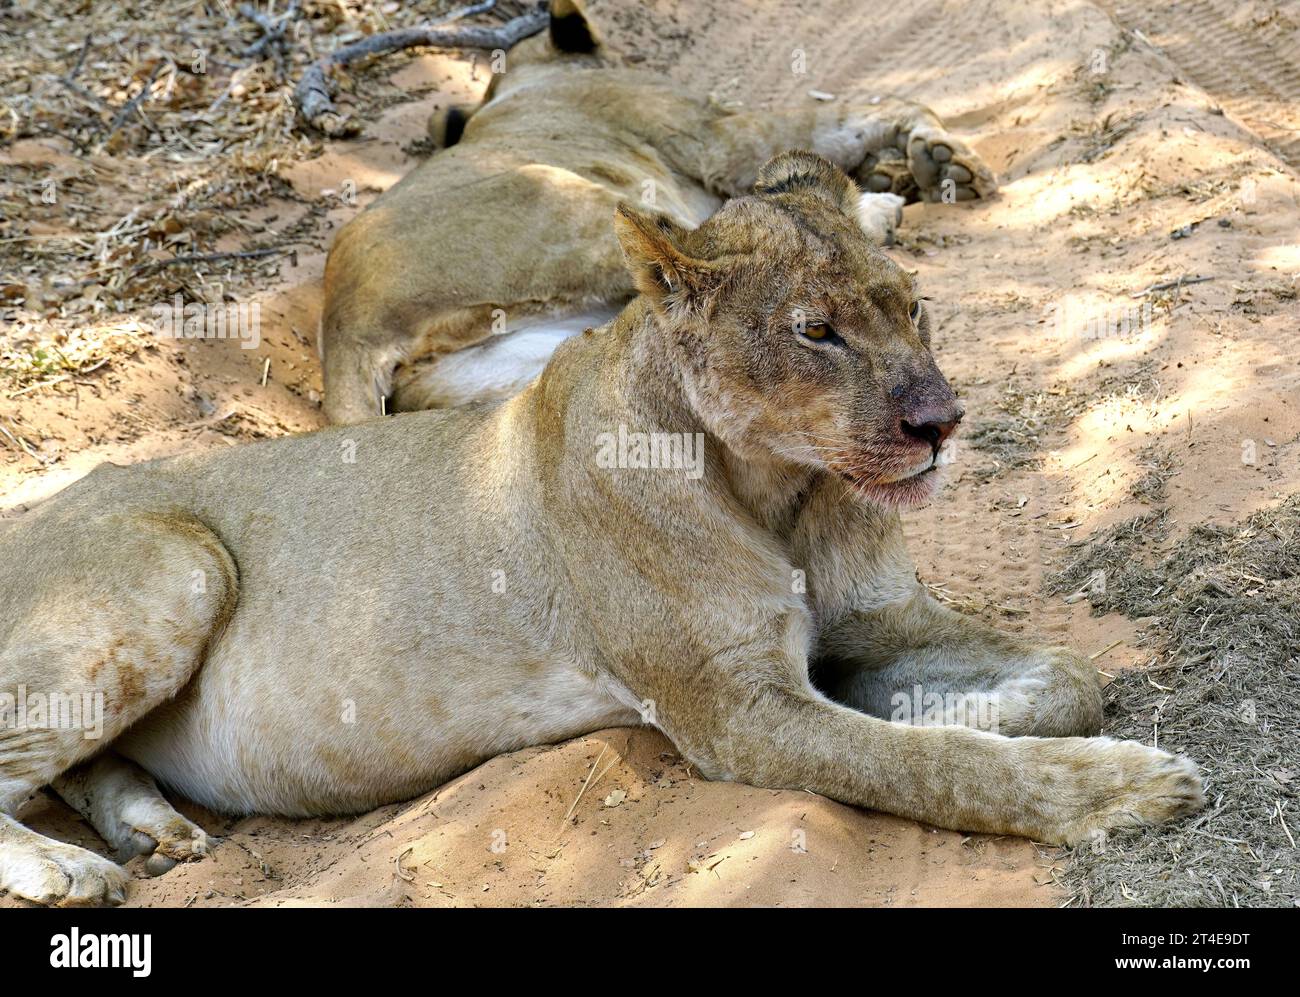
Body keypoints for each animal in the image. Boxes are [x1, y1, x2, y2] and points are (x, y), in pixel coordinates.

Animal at [0, 151, 1201, 906]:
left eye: (912, 307)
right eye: (814, 332)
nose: (940, 425)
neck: (778, 488)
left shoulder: (879, 619)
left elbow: (1061, 677)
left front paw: (970, 708)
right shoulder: (733, 713)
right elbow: (929, 766)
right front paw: (1124, 789)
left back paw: (148, 834)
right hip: (178, 564)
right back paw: (68, 870)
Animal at [319, 0, 997, 424]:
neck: (529, 81)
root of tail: (346, 324)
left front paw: (910, 166)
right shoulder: (719, 136)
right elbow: (865, 109)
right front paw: (942, 161)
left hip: (511, 365)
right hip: (586, 208)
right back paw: (877, 217)